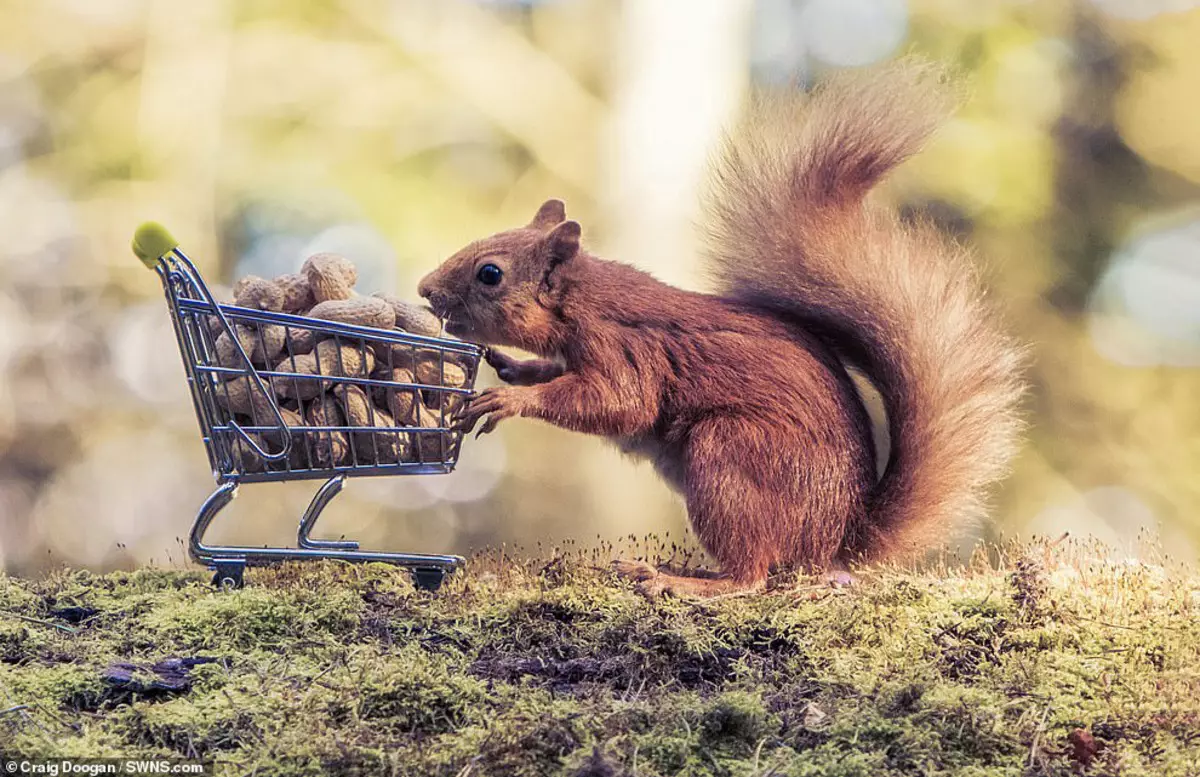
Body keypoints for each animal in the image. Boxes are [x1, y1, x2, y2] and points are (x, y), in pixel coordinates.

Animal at [420, 60, 1022, 597]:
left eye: (490, 273)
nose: (426, 290)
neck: (580, 301)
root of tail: (834, 541)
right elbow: (556, 373)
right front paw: (510, 367)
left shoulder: (622, 347)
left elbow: (619, 402)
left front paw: (510, 400)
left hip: (729, 458)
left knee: (751, 576)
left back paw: (679, 581)